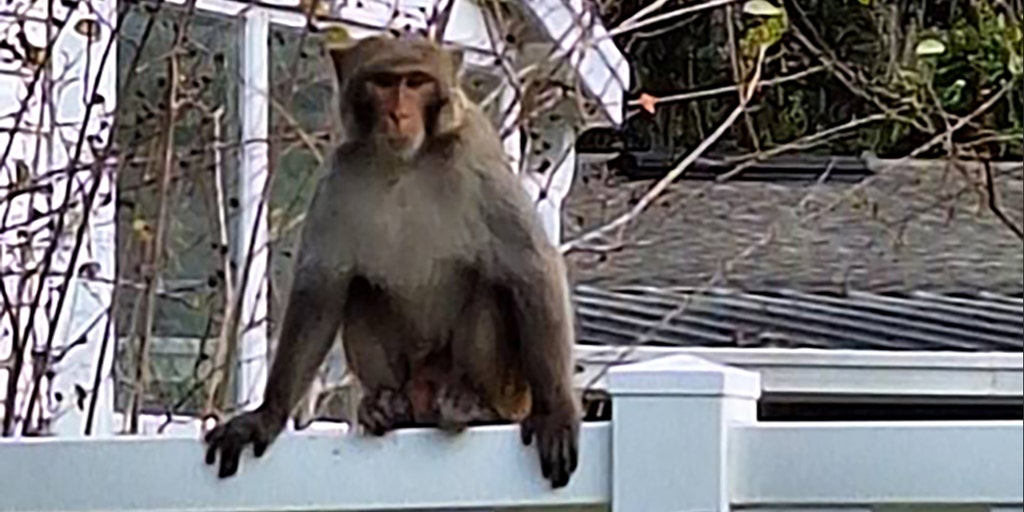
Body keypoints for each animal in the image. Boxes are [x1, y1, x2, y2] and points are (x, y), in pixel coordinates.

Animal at [203, 34, 581, 489]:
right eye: (383, 82)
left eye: (416, 82)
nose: (398, 113)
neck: (407, 161)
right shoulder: (341, 173)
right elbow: (322, 289)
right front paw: (266, 415)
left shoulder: (475, 159)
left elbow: (531, 267)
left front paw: (557, 412)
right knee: (359, 290)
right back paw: (386, 405)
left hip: (508, 387)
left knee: (489, 287)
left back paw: (472, 403)